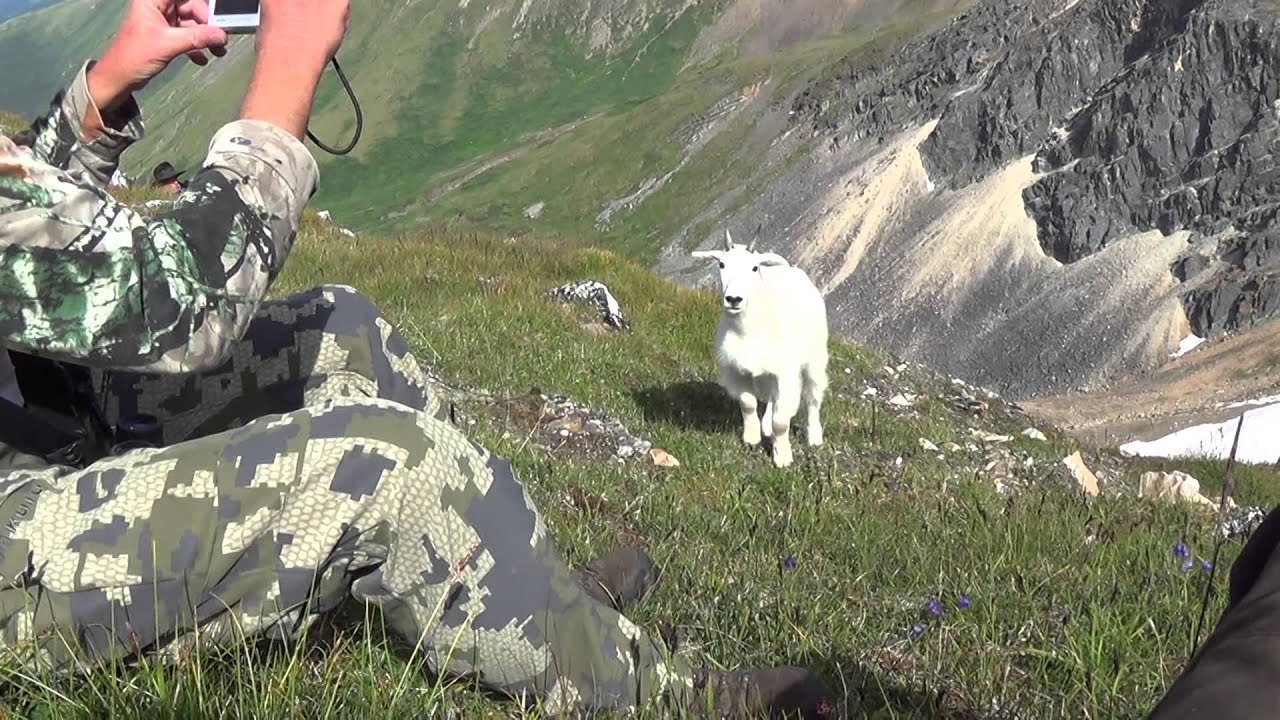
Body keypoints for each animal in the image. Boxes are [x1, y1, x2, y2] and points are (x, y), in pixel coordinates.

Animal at [692, 230, 829, 467]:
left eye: (754, 267)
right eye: (721, 264)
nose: (734, 299)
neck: (748, 332)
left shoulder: (786, 374)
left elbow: (781, 420)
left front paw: (782, 457)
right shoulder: (736, 371)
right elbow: (748, 404)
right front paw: (752, 438)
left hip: (815, 359)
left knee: (813, 397)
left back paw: (814, 437)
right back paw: (765, 427)